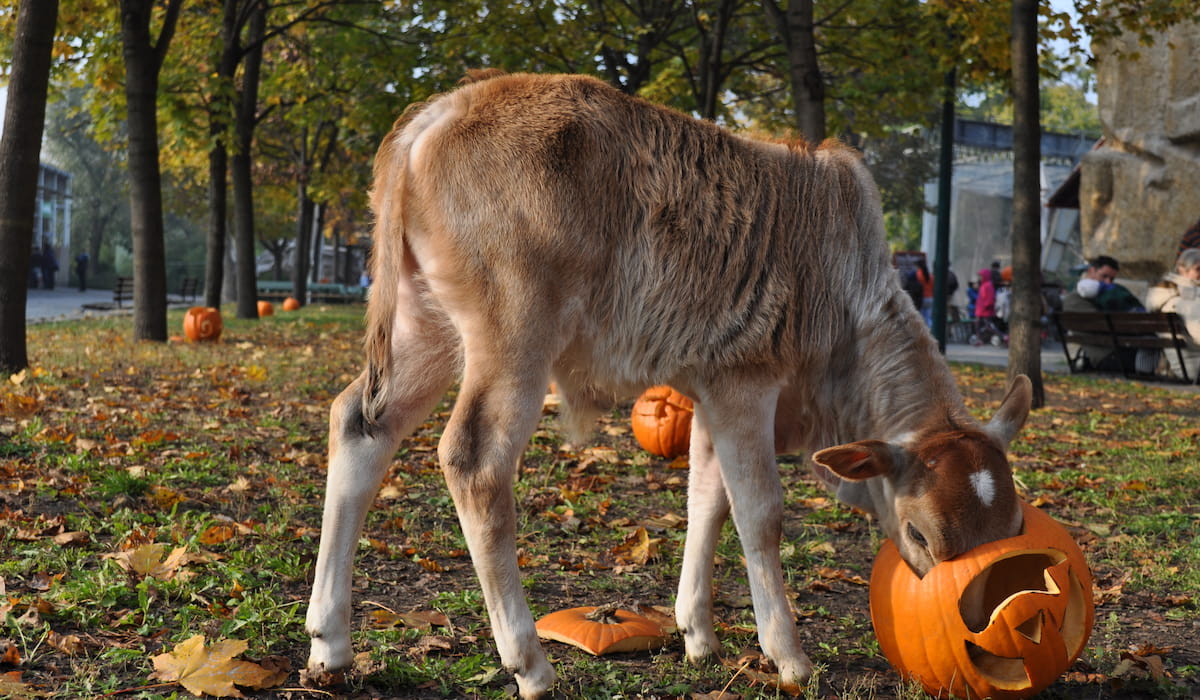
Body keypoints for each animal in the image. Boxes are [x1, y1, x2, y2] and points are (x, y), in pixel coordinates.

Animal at [304, 70, 1033, 699]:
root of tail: (440, 111)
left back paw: (330, 644)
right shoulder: (747, 382)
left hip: (424, 324)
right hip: (514, 332)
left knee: (358, 423)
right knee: (474, 461)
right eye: (919, 535)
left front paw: (698, 635)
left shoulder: (709, 390)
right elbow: (760, 512)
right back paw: (528, 661)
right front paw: (788, 655)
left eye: (1014, 525)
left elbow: (707, 499)